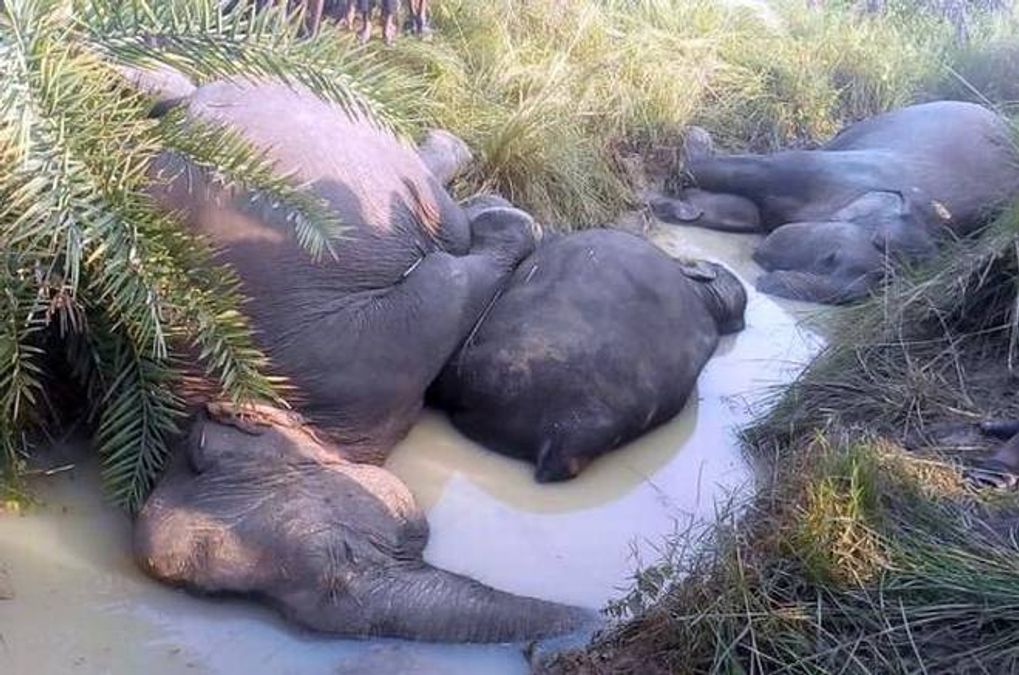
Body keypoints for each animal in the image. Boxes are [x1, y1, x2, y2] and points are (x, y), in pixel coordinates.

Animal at [658, 101, 1019, 303]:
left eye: (884, 284)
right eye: (879, 241)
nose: (768, 282)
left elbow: (747, 214)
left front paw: (676, 205)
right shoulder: (828, 172)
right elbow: (739, 174)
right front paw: (695, 138)